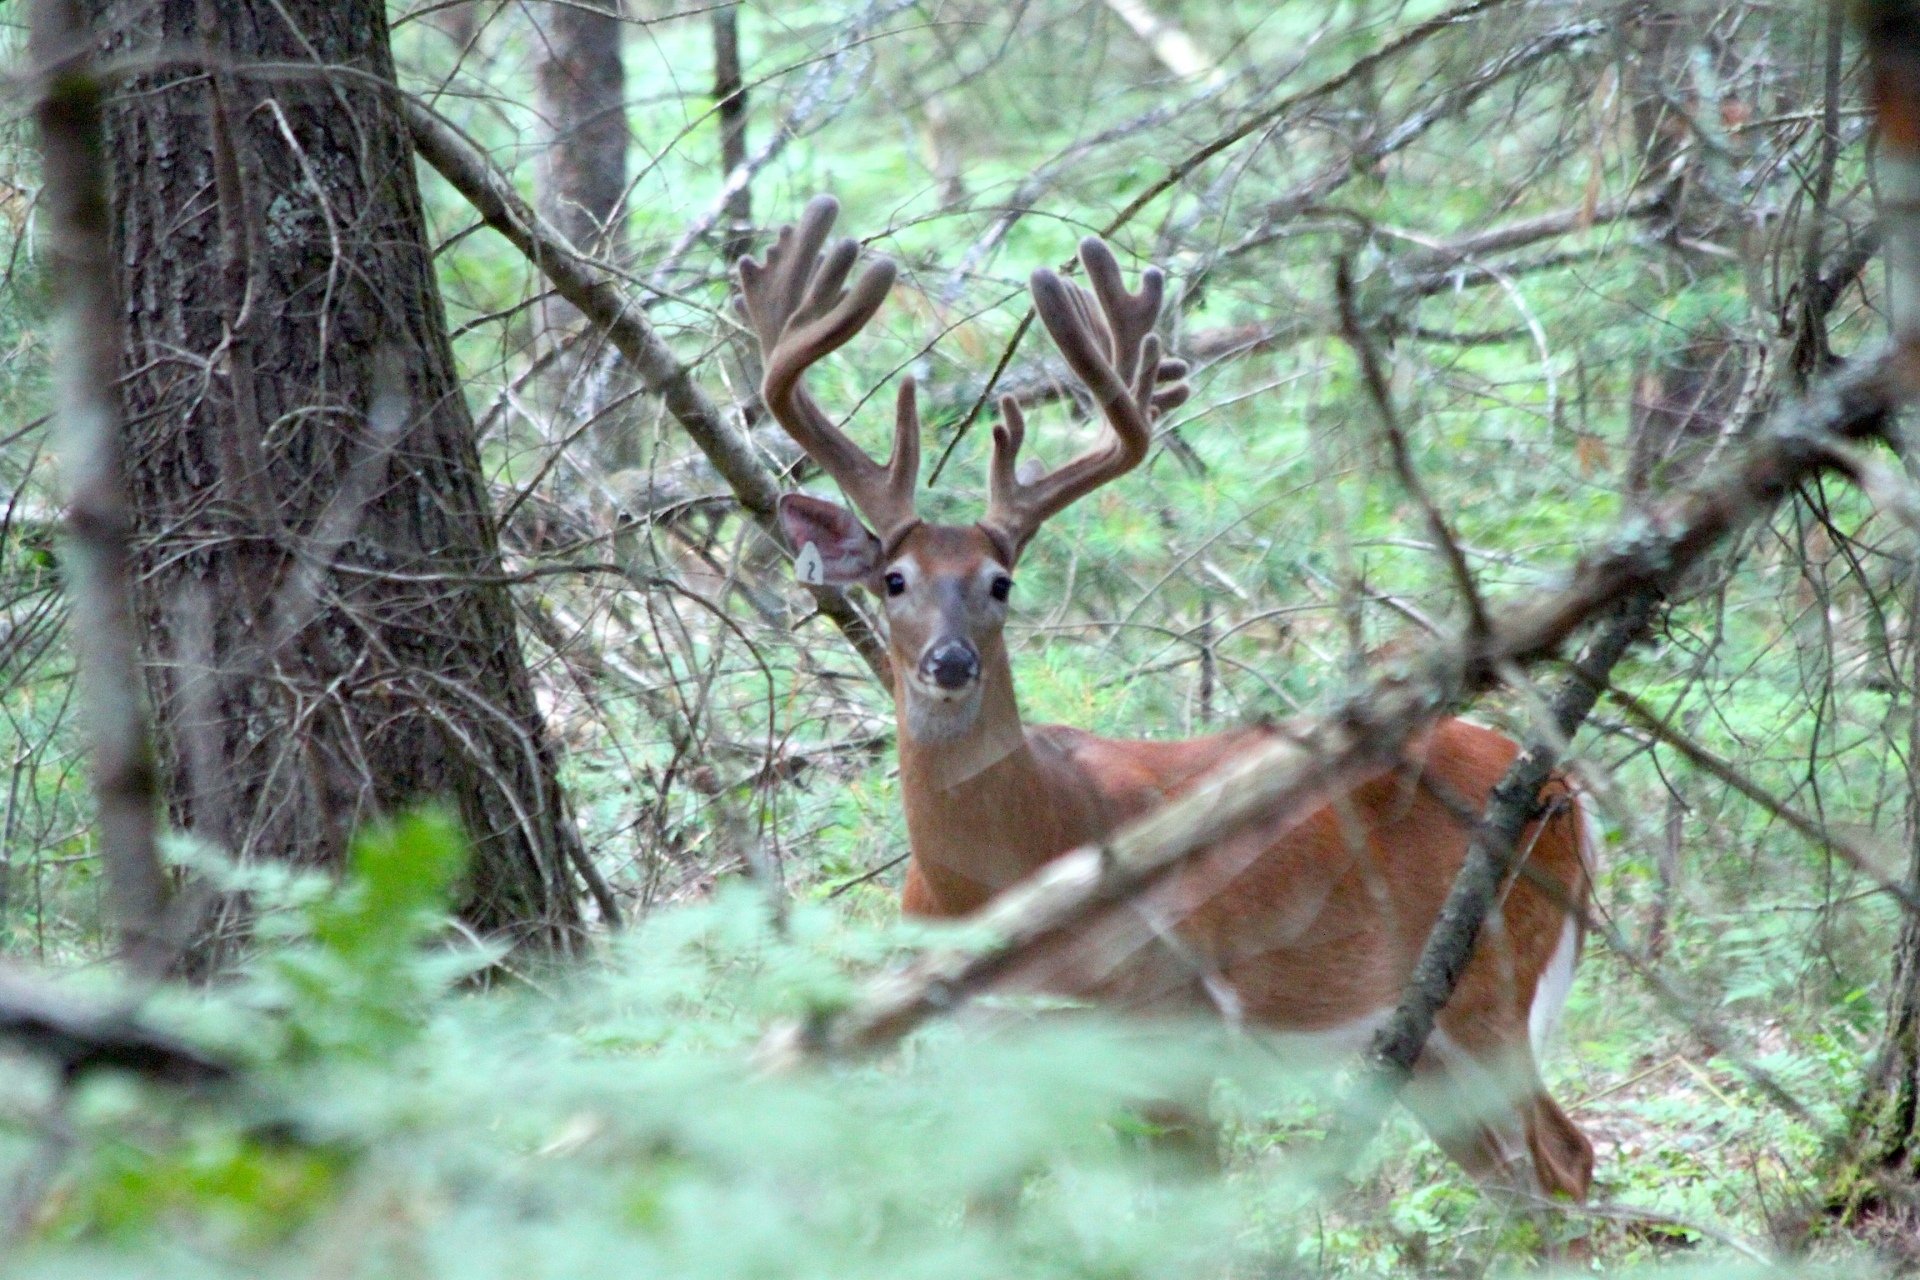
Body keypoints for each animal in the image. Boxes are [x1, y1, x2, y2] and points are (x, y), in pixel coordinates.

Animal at [737, 196, 1596, 1207]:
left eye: (1000, 583)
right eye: (894, 580)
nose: (950, 662)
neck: (990, 883)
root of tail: (1568, 793)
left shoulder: (1165, 1031)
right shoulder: (980, 1059)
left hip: (1488, 987)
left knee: (1565, 1162)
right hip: (1428, 1045)